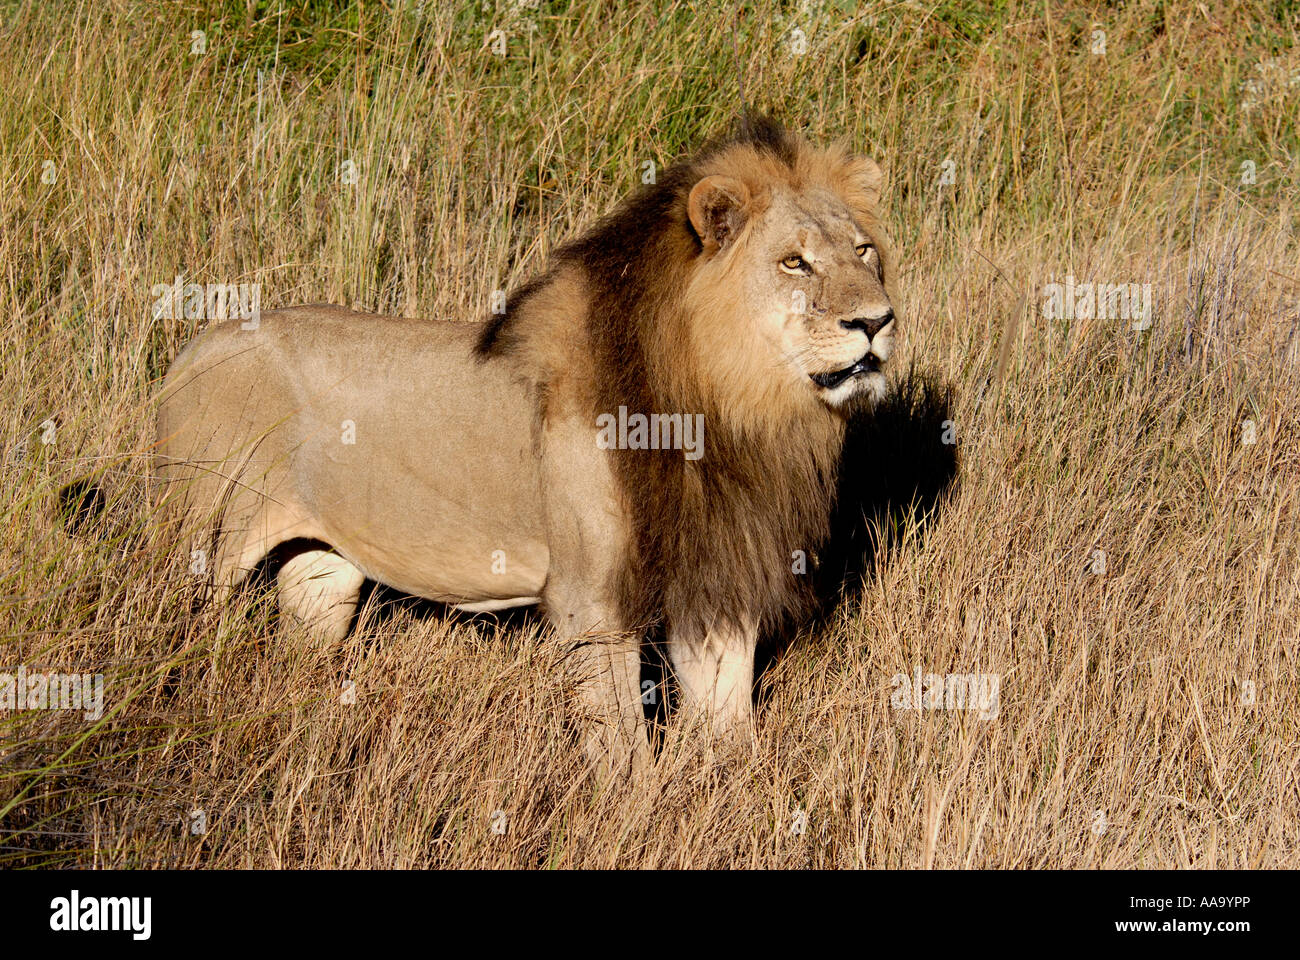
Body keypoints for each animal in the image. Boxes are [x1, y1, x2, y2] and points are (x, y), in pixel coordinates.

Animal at [154, 117, 898, 774]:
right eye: (795, 262)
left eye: (863, 251)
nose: (877, 321)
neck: (736, 404)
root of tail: (193, 348)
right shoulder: (590, 601)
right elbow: (623, 746)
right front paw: (631, 815)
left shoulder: (714, 575)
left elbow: (728, 717)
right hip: (198, 545)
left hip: (321, 574)